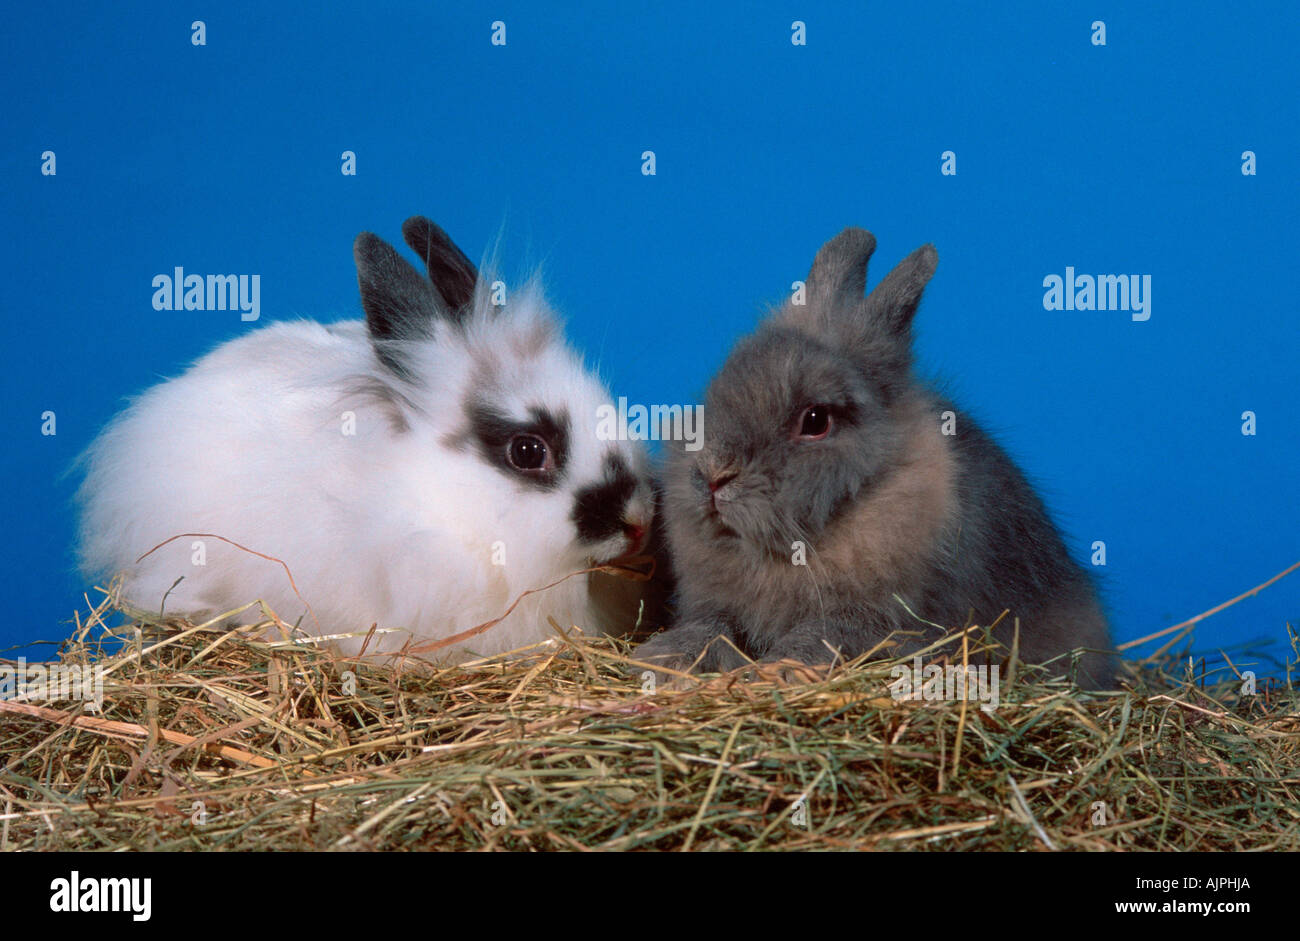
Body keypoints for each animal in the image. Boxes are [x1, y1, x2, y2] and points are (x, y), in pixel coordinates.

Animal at [633, 227, 1117, 688]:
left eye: (815, 420)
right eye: (718, 387)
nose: (713, 476)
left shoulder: (881, 618)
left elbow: (822, 633)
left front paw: (778, 671)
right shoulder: (717, 605)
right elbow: (708, 625)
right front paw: (665, 659)